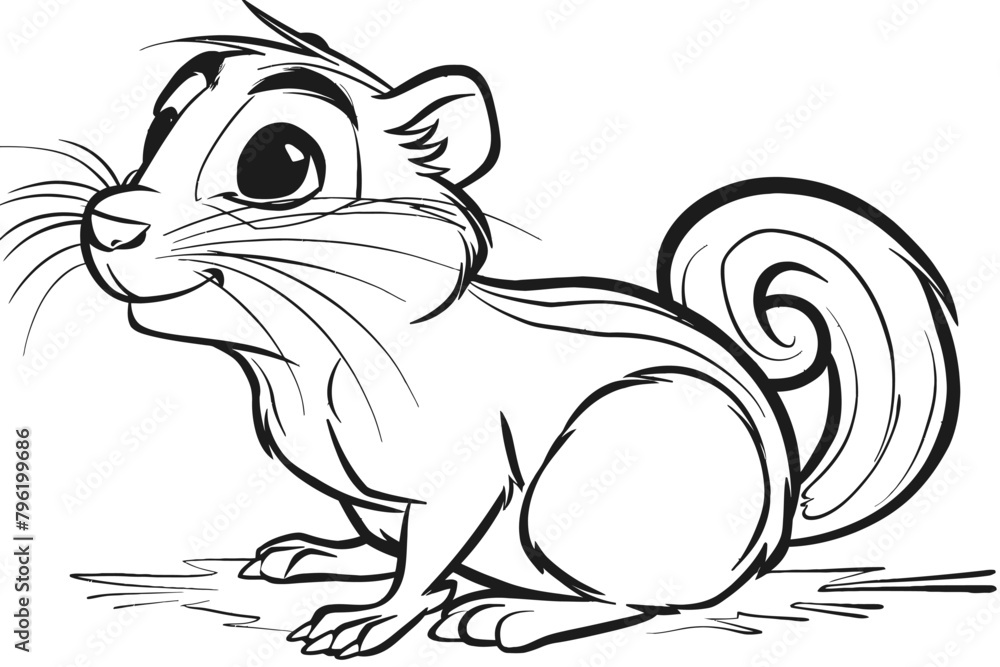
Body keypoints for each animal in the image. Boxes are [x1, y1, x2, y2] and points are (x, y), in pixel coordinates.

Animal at [3, 2, 958, 657]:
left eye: (280, 161)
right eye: (161, 124)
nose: (109, 224)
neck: (310, 357)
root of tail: (780, 515)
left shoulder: (460, 485)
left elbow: (426, 555)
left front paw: (373, 617)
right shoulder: (380, 499)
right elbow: (394, 543)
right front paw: (340, 564)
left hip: (587, 491)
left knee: (643, 600)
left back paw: (515, 612)